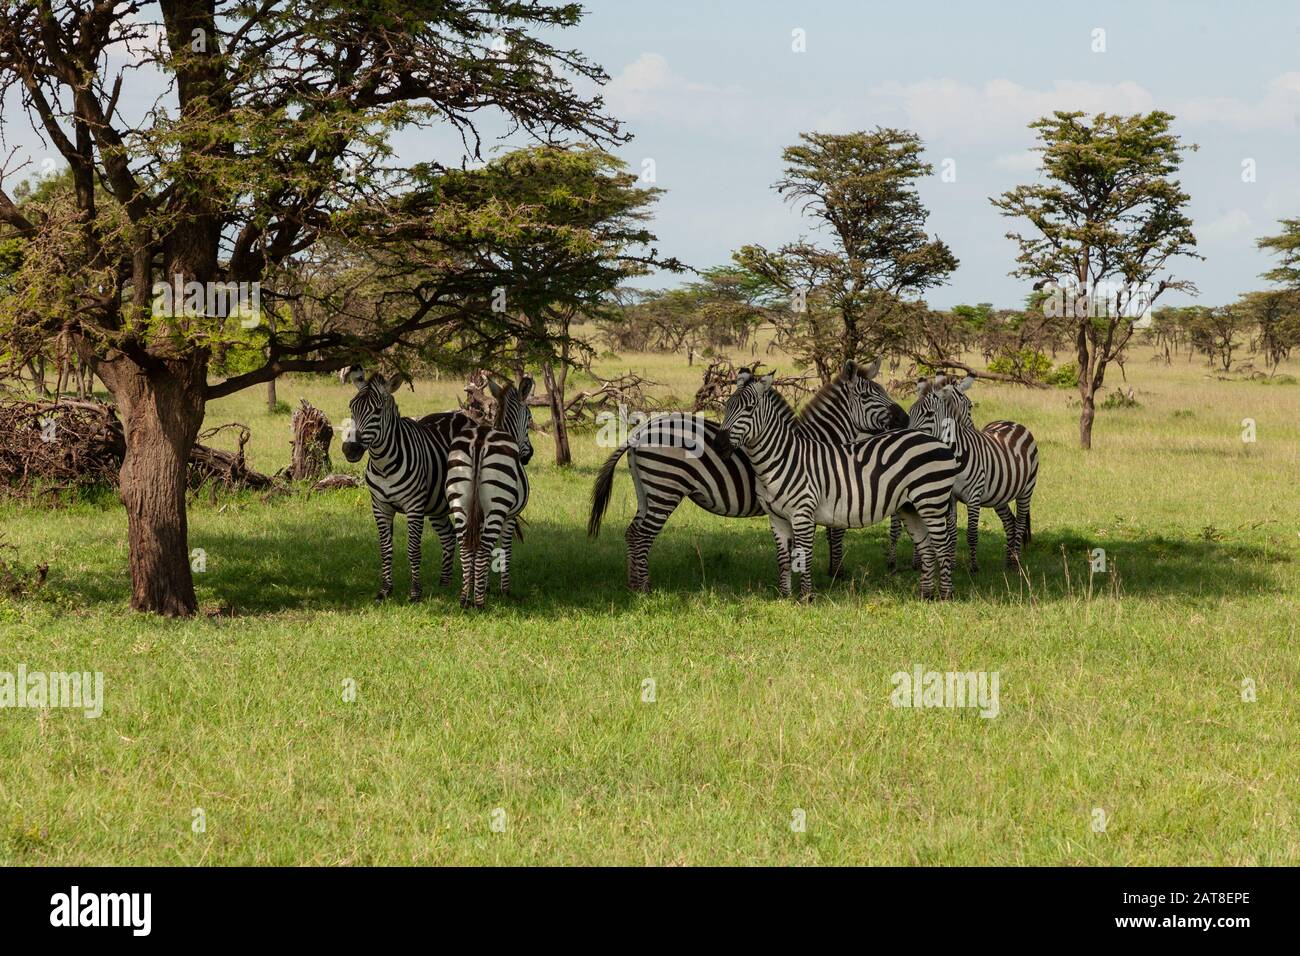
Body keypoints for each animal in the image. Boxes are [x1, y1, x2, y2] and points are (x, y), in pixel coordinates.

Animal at [341, 366, 471, 601]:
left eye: (378, 410)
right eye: (351, 408)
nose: (350, 449)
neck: (384, 465)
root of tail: (459, 415)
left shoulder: (414, 507)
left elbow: (413, 549)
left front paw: (415, 593)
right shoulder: (380, 507)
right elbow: (385, 548)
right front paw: (385, 590)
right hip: (438, 505)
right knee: (449, 537)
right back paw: (444, 584)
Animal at [446, 376, 534, 608]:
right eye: (530, 418)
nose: (528, 455)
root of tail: (479, 440)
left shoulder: (479, 514)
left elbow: (475, 545)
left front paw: (480, 583)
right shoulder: (510, 516)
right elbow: (505, 548)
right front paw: (503, 589)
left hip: (459, 500)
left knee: (465, 544)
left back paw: (465, 598)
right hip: (497, 503)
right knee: (485, 546)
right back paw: (479, 603)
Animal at [587, 359, 911, 592]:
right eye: (869, 395)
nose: (905, 418)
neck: (817, 440)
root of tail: (638, 432)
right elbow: (835, 531)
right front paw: (836, 573)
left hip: (647, 490)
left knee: (632, 533)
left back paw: (634, 584)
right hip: (665, 489)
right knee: (643, 535)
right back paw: (644, 589)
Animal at [712, 369, 959, 601]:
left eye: (749, 408)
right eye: (727, 407)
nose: (718, 445)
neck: (780, 459)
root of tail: (936, 441)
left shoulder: (803, 514)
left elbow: (804, 556)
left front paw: (806, 598)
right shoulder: (777, 518)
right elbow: (783, 560)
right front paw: (784, 596)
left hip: (931, 502)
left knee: (943, 546)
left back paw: (945, 596)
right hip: (911, 507)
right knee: (927, 547)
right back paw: (926, 595)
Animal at [887, 375, 1038, 572]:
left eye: (929, 414)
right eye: (910, 412)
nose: (906, 436)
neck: (956, 456)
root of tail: (1012, 423)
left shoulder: (974, 496)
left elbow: (972, 533)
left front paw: (973, 567)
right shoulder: (950, 497)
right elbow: (951, 533)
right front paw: (951, 564)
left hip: (1026, 490)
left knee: (1020, 523)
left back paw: (1016, 563)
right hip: (999, 496)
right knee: (1010, 522)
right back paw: (1008, 561)